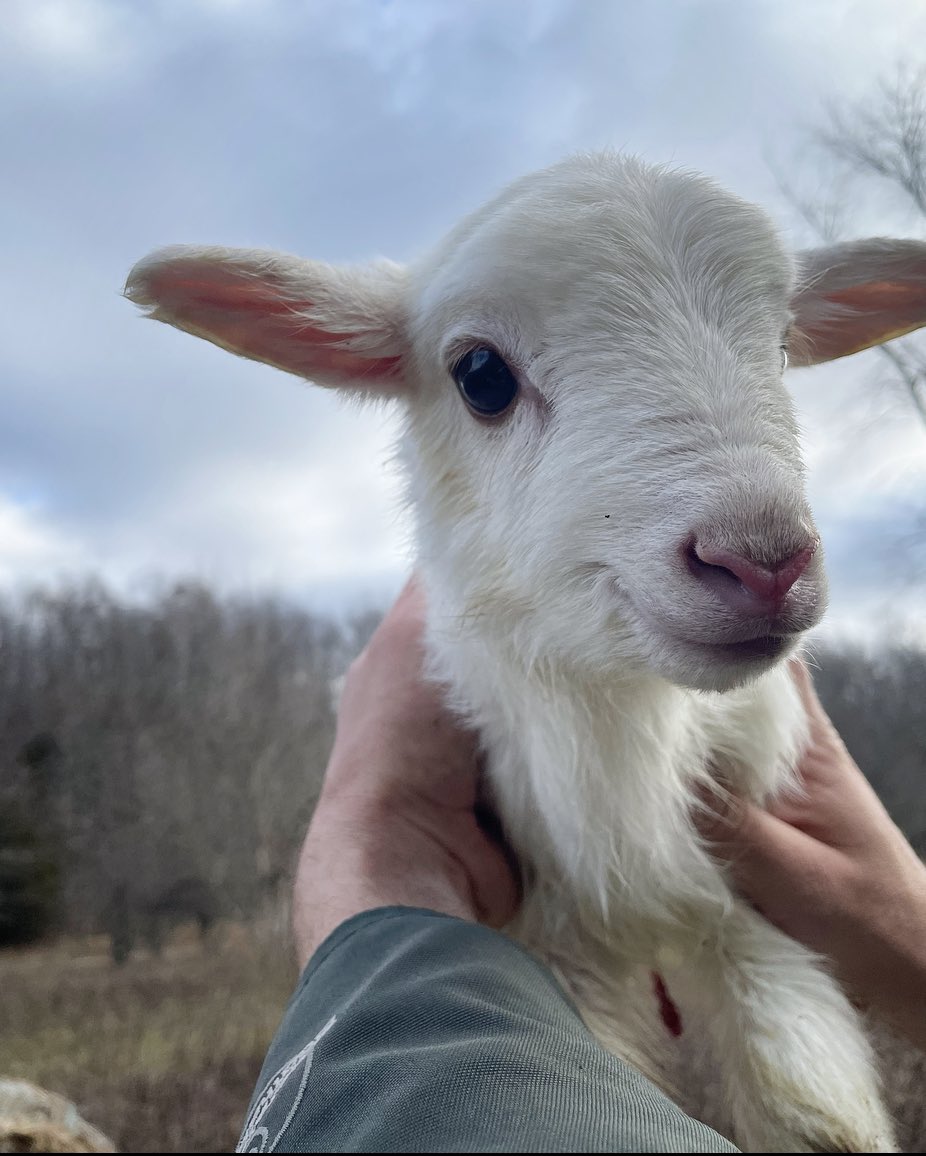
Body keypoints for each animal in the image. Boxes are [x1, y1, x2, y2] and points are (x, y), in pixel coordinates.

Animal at [125, 152, 926, 1152]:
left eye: (781, 346)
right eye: (479, 375)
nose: (762, 559)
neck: (623, 730)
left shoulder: (762, 918)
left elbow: (815, 1115)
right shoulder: (554, 938)